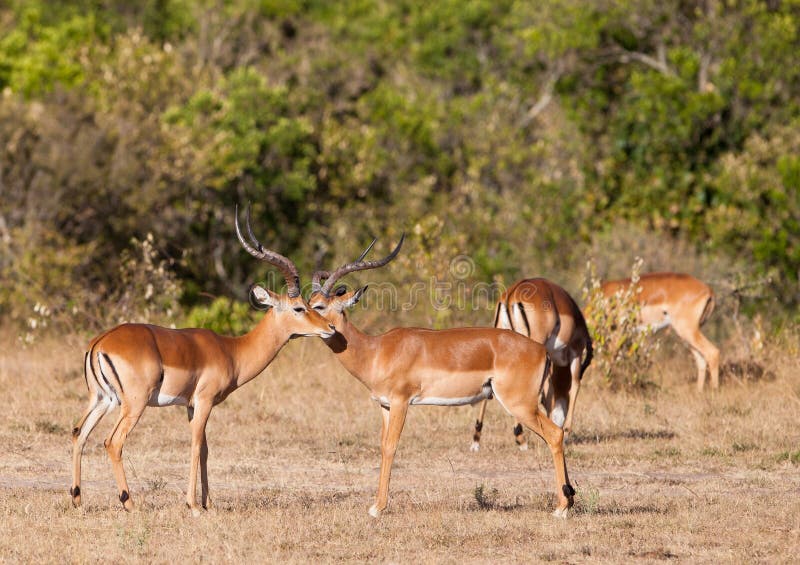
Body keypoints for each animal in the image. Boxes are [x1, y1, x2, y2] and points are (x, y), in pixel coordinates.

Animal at [70, 205, 335, 515]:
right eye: (299, 308)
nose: (330, 328)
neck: (231, 350)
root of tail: (100, 342)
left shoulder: (191, 405)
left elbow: (206, 448)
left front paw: (209, 503)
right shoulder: (205, 401)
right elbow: (196, 446)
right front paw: (193, 505)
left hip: (102, 399)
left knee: (79, 432)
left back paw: (77, 499)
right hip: (133, 404)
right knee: (112, 442)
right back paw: (129, 502)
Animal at [307, 237, 575, 519]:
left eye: (319, 306)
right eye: (310, 300)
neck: (376, 350)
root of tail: (541, 351)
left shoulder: (401, 402)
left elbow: (391, 447)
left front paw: (377, 508)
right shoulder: (385, 405)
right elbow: (382, 446)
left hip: (520, 404)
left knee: (555, 434)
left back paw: (561, 508)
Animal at [471, 278, 593, 451]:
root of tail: (512, 293)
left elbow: (548, 393)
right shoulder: (576, 352)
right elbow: (573, 385)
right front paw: (566, 432)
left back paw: (477, 438)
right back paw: (520, 437)